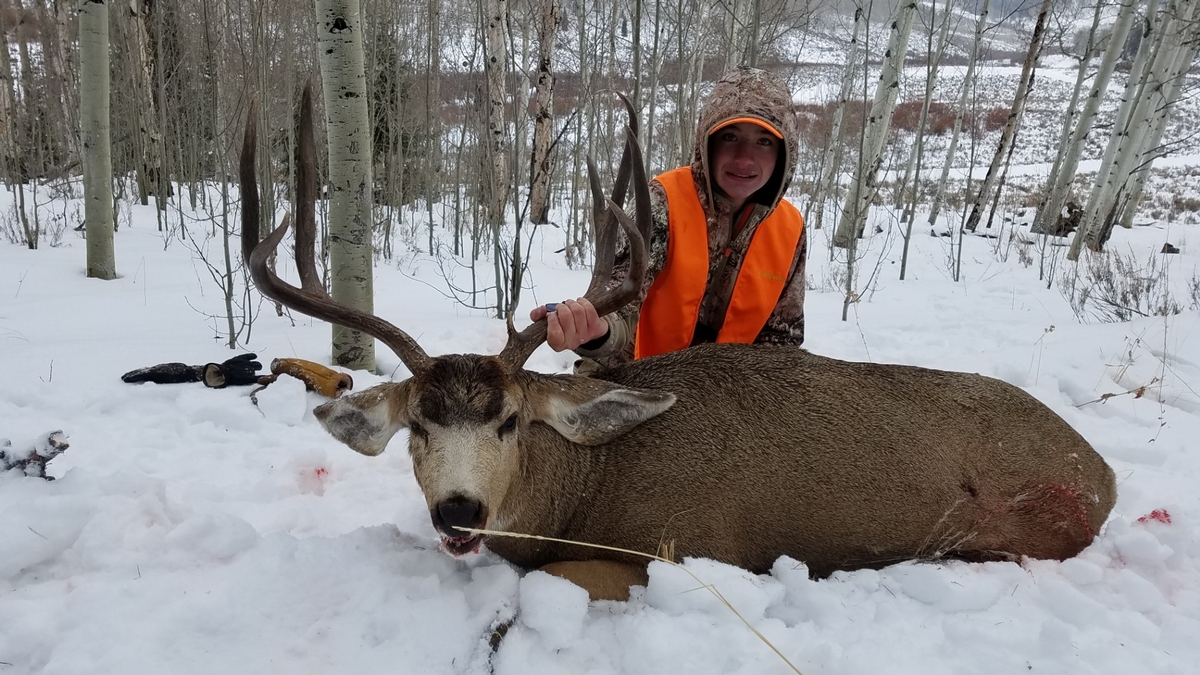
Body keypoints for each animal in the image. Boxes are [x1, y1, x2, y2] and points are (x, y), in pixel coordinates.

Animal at [239, 83, 1117, 602]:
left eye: (510, 420)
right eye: (419, 423)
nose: (459, 508)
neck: (584, 489)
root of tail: (1103, 473)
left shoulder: (685, 553)